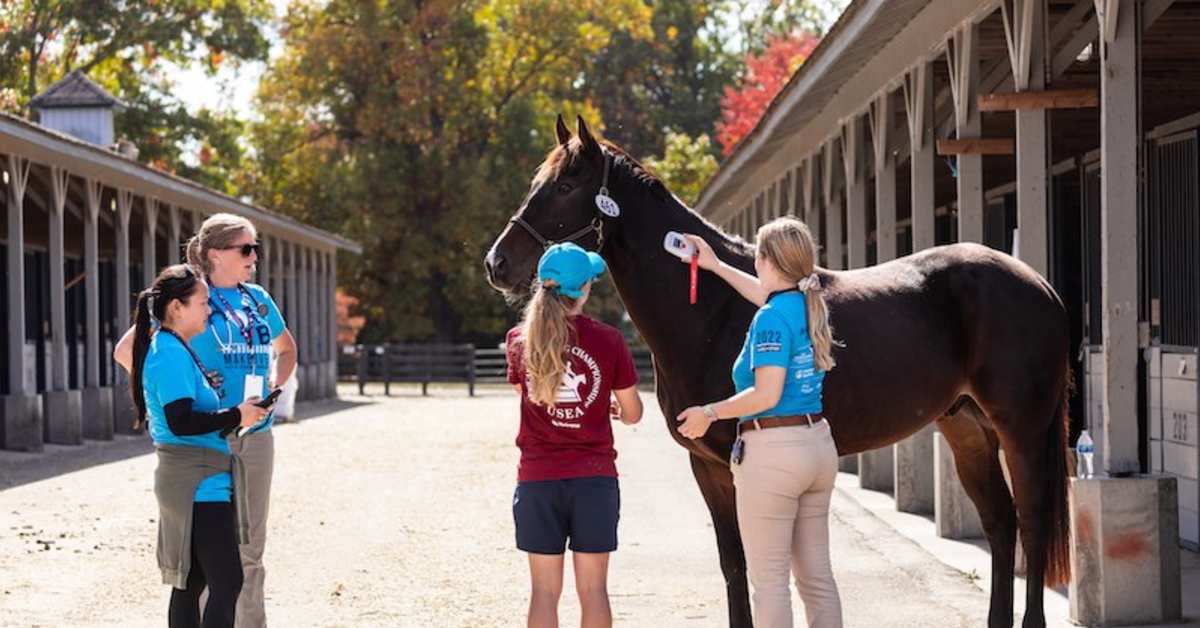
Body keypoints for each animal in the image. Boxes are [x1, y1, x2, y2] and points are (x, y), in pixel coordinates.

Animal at [484, 115, 1072, 628]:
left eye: (566, 185)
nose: (497, 264)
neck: (713, 308)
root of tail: (1039, 283)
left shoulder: (740, 463)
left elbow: (756, 559)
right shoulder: (709, 466)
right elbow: (733, 561)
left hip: (1021, 430)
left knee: (1032, 523)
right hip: (966, 428)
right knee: (1000, 523)